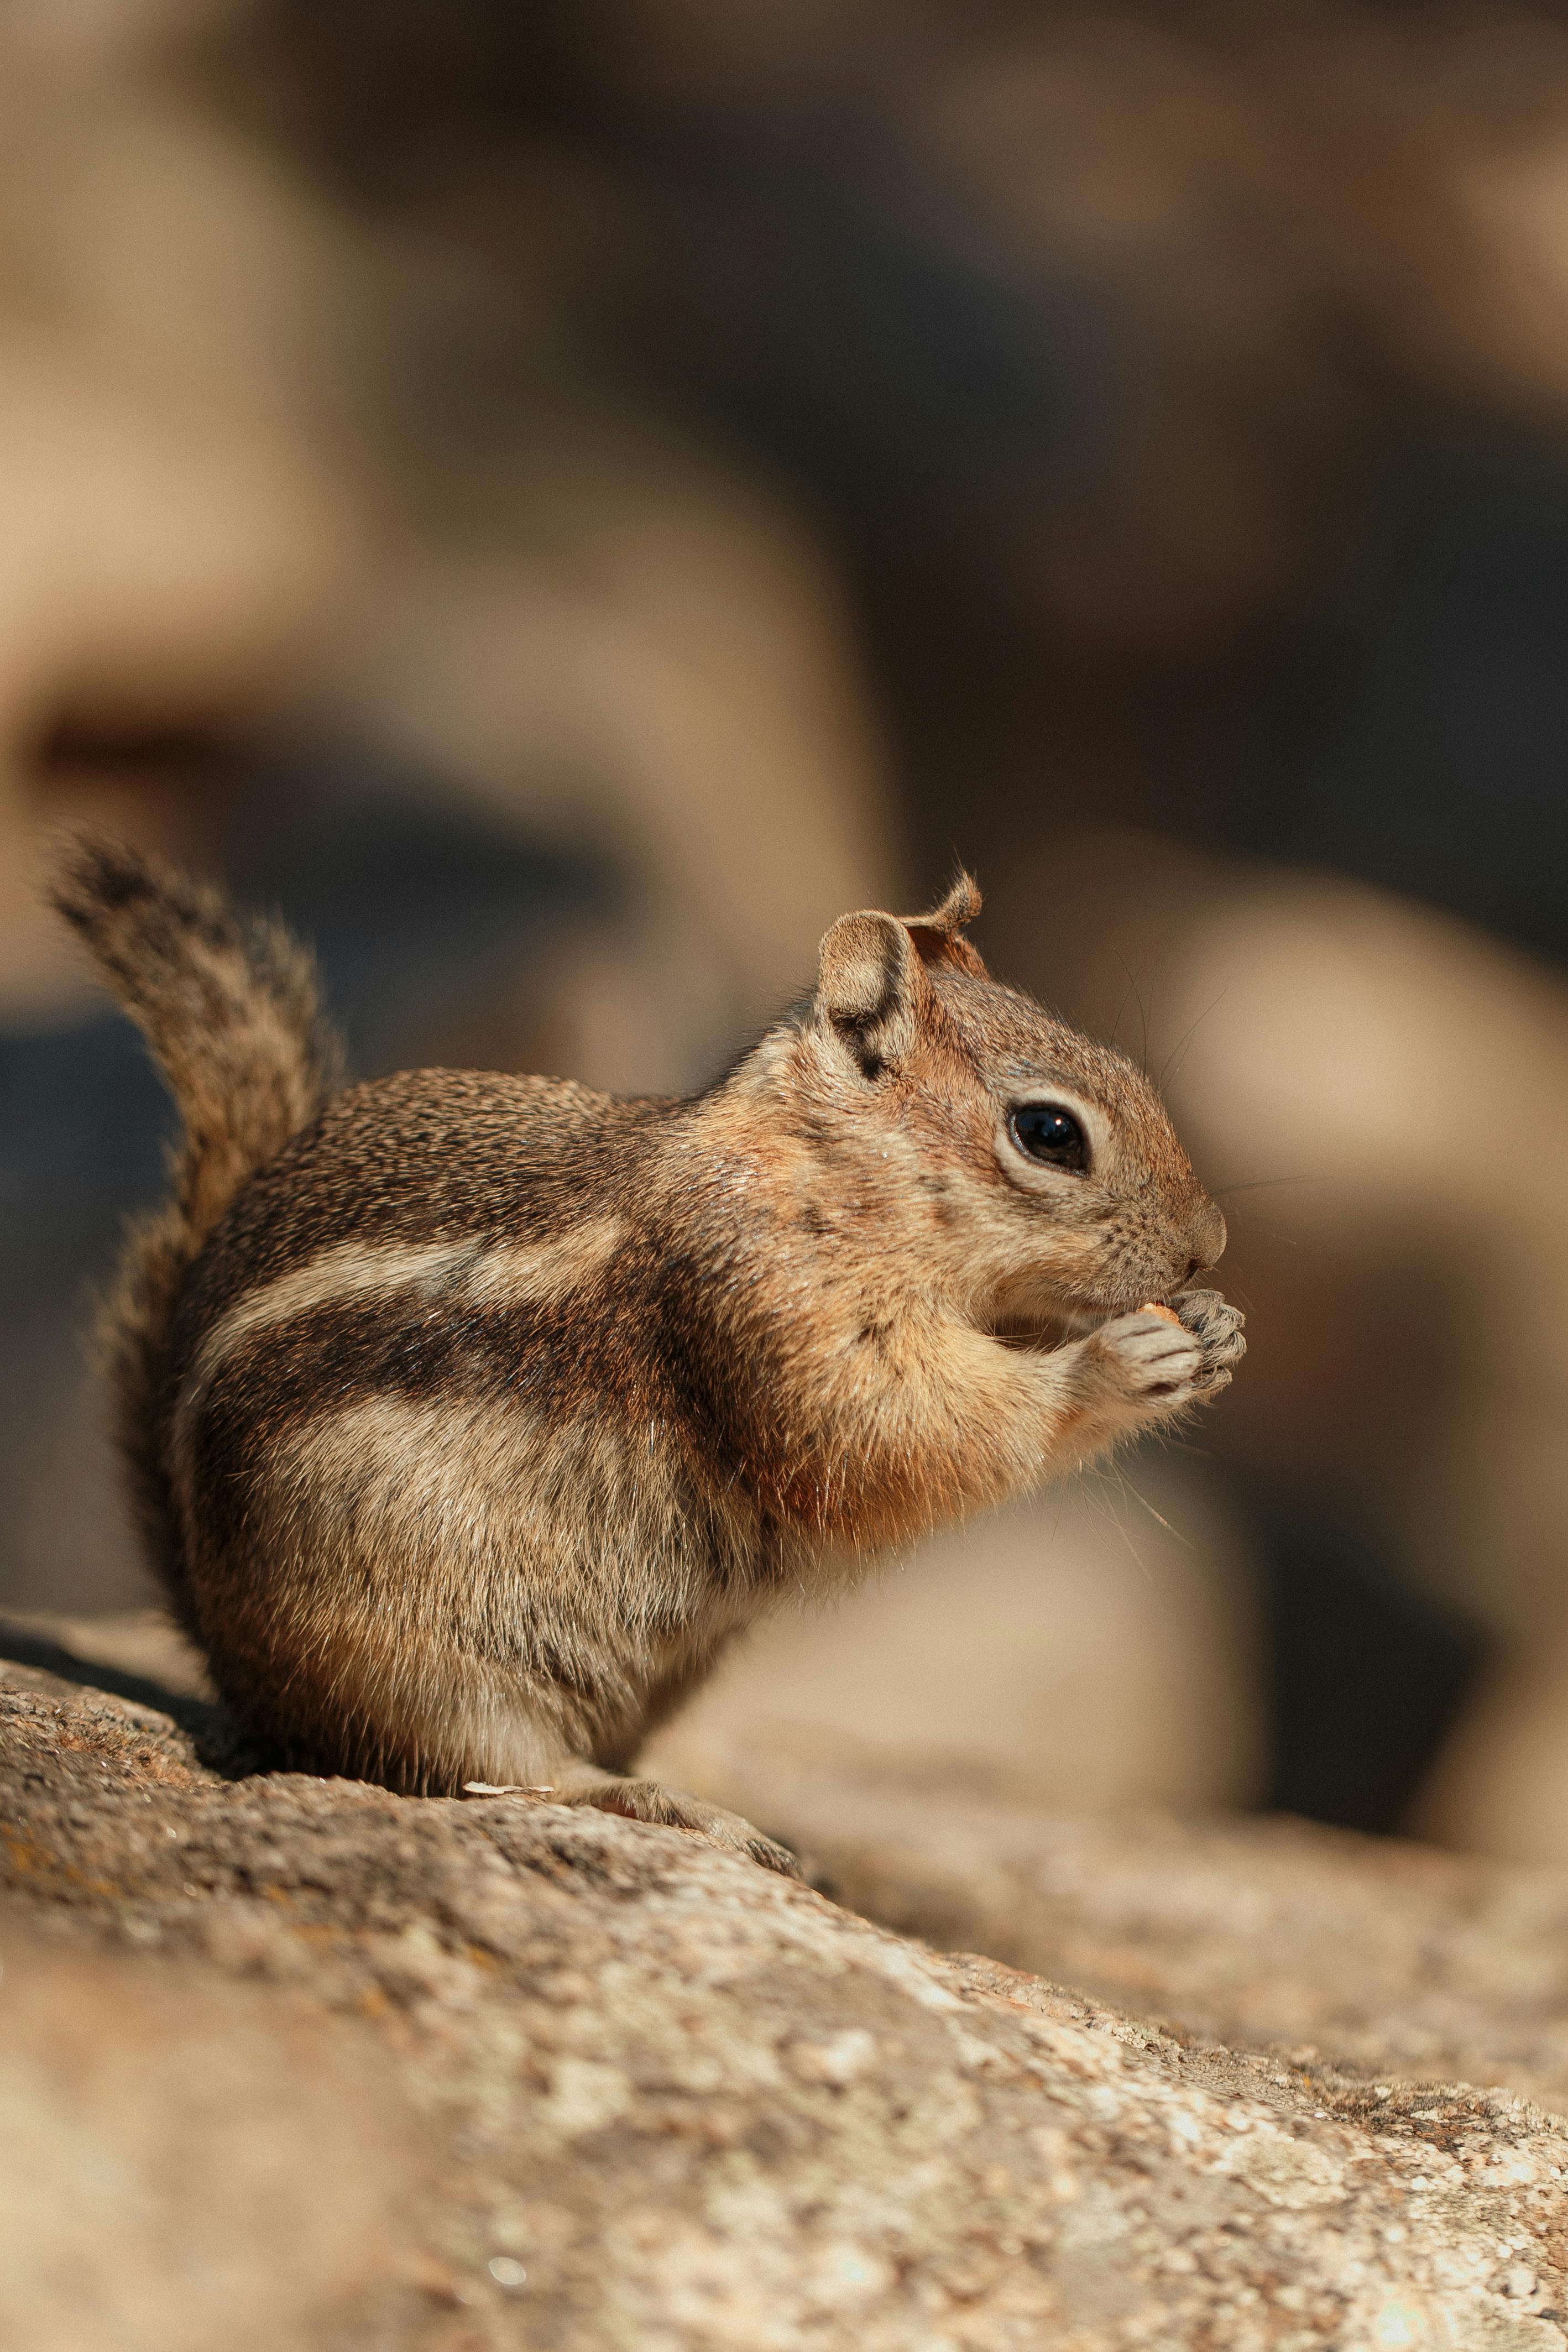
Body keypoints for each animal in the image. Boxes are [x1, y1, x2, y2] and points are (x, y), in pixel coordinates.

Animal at [51, 837, 1243, 1872]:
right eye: (1050, 1132)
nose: (1209, 1245)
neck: (820, 1171)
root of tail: (223, 1650)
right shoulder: (762, 1302)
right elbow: (894, 1434)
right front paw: (1110, 1365)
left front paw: (1216, 1327)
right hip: (405, 1655)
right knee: (492, 1770)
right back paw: (675, 1806)